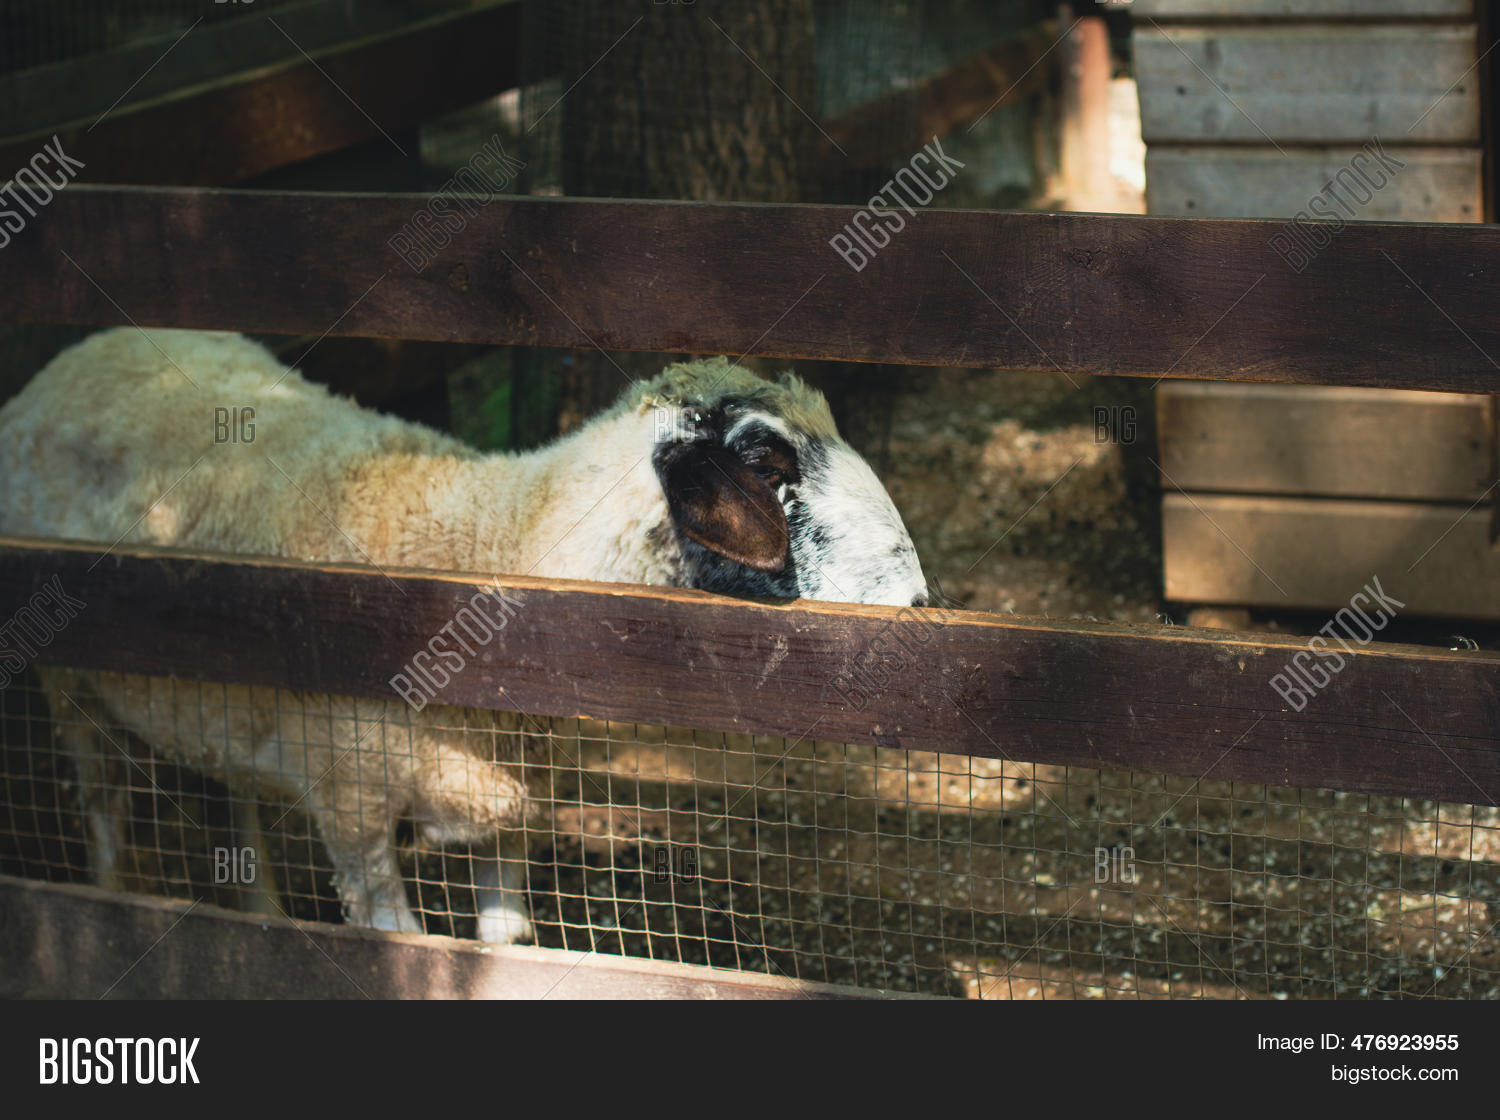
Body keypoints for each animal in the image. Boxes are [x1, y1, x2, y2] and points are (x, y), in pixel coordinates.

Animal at [0, 327, 929, 942]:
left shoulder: (512, 802)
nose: (921, 605)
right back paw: (110, 895)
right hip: (68, 676)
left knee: (233, 796)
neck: (492, 545)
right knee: (102, 801)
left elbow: (505, 942)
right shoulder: (353, 808)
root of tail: (82, 352)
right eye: (767, 465)